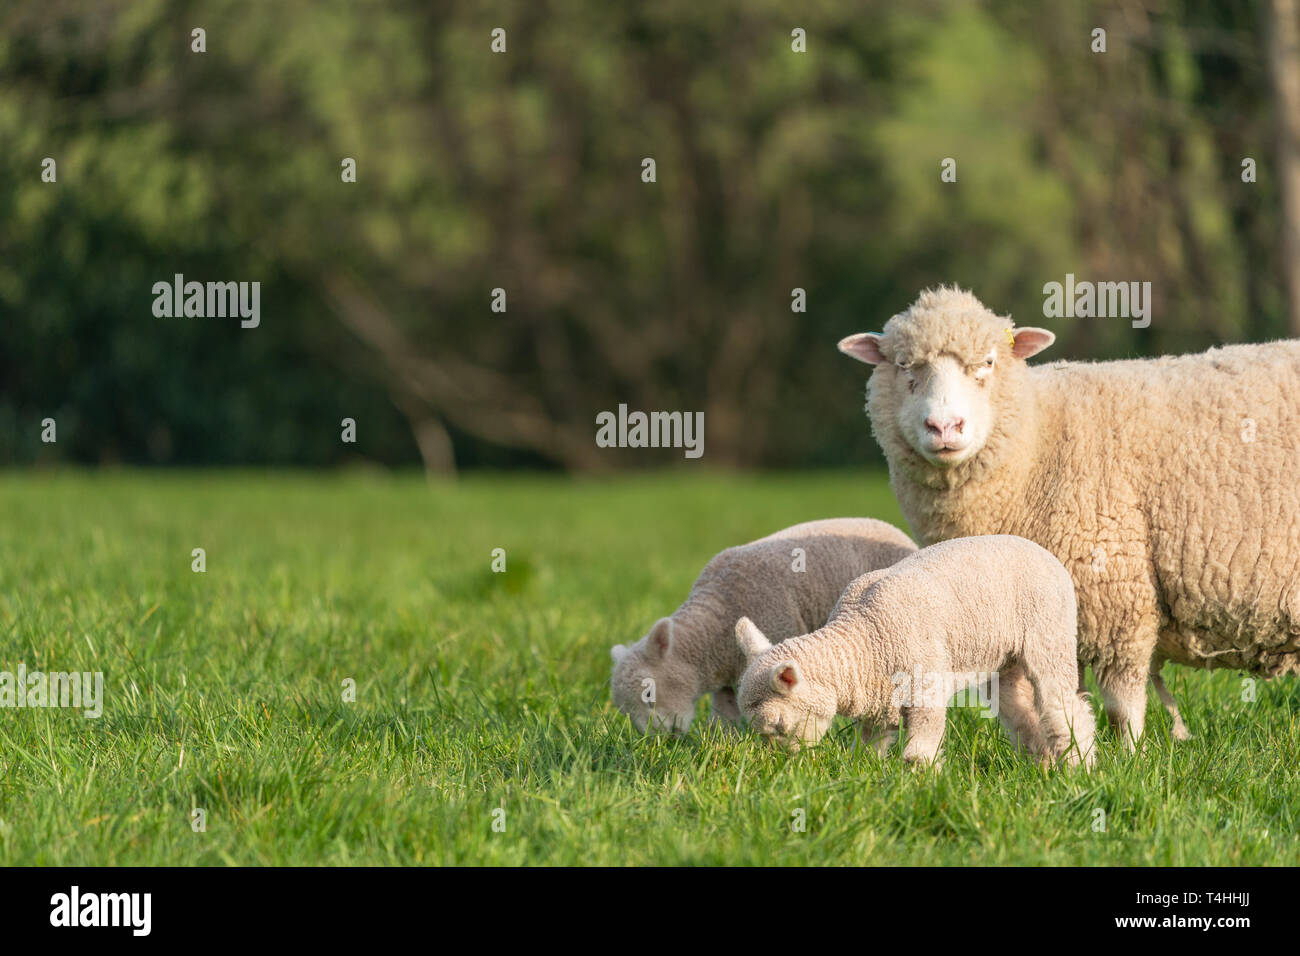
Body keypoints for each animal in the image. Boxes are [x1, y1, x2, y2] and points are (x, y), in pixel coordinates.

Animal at [734, 535, 1096, 768]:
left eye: (779, 725)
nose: (785, 765)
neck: (864, 639)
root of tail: (1044, 552)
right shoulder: (880, 700)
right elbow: (868, 747)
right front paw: (864, 776)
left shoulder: (925, 684)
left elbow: (918, 753)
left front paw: (920, 783)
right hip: (1004, 663)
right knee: (1022, 713)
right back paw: (1042, 766)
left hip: (1049, 635)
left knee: (1064, 707)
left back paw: (1080, 766)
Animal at [837, 286, 1300, 748]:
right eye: (903, 365)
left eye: (987, 362)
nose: (945, 426)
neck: (1038, 442)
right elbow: (1050, 695)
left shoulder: (1116, 592)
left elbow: (1121, 701)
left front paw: (1129, 754)